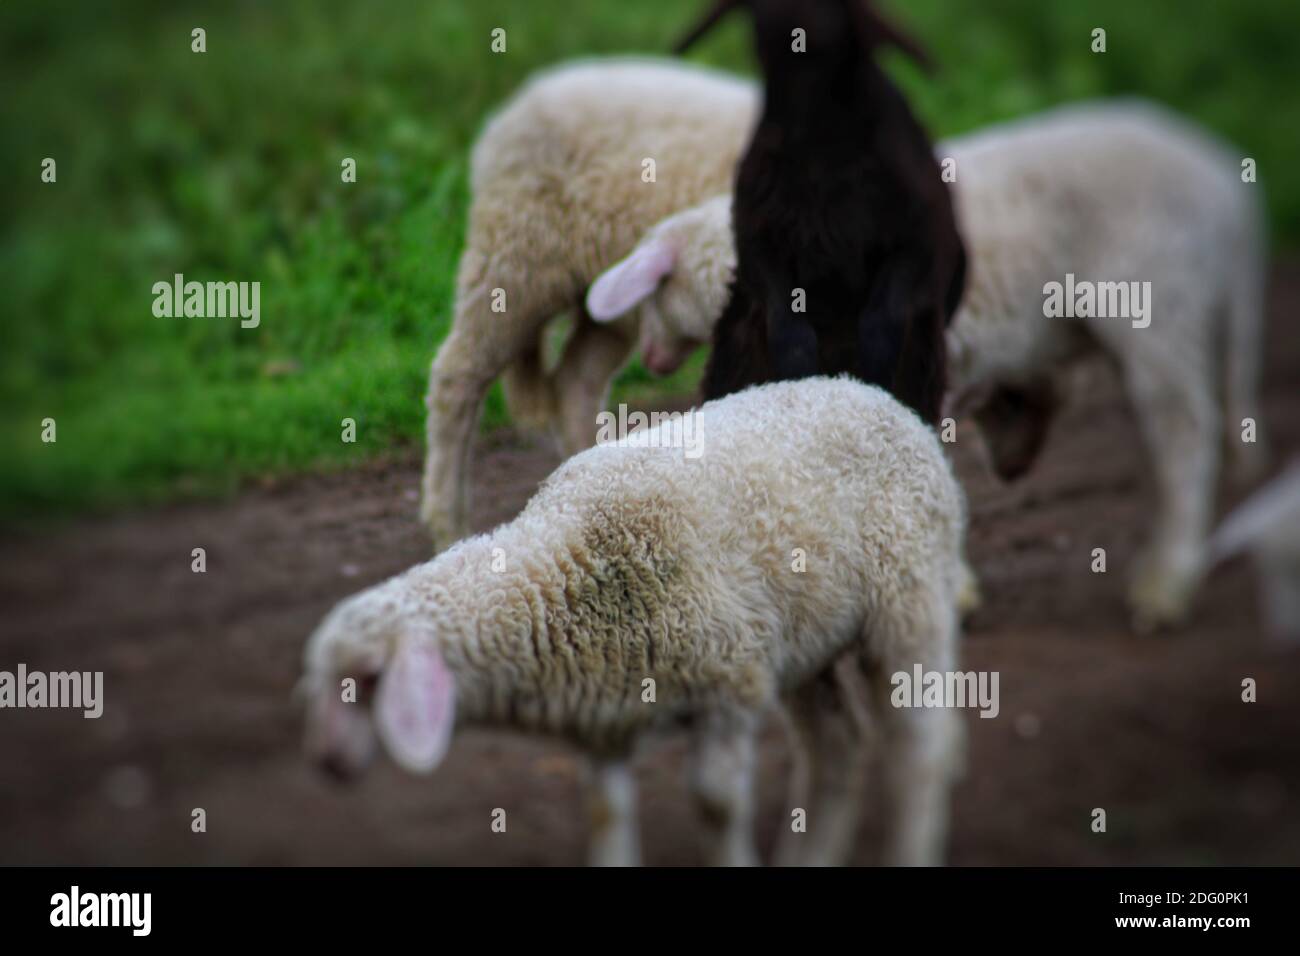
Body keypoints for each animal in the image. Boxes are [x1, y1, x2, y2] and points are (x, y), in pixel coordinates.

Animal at [304, 376, 968, 866]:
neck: (575, 561)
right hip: (808, 640)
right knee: (840, 745)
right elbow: (605, 814)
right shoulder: (604, 722)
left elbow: (715, 804)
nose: (328, 766)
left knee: (923, 745)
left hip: (909, 597)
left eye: (366, 680)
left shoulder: (730, 685)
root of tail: (874, 394)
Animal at [587, 100, 1268, 629]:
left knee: (1185, 436)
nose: (650, 358)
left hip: (1160, 311)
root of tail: (1227, 195)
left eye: (653, 295)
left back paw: (1166, 586)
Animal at [671, 0, 966, 424]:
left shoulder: (922, 238)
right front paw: (800, 386)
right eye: (757, 46)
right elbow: (788, 329)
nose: (775, 144)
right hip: (735, 335)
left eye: (824, 46)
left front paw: (874, 379)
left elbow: (883, 315)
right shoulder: (758, 238)